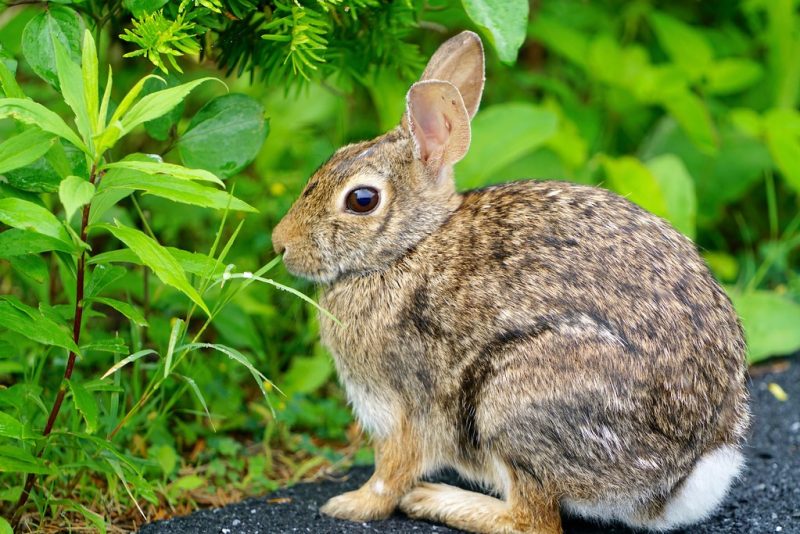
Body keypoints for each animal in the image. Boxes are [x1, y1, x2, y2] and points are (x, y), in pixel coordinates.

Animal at [271, 31, 750, 534]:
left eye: (362, 200)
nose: (280, 244)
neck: (408, 247)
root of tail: (685, 475)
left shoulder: (407, 405)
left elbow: (392, 471)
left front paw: (351, 505)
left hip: (513, 402)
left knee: (532, 518)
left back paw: (437, 500)